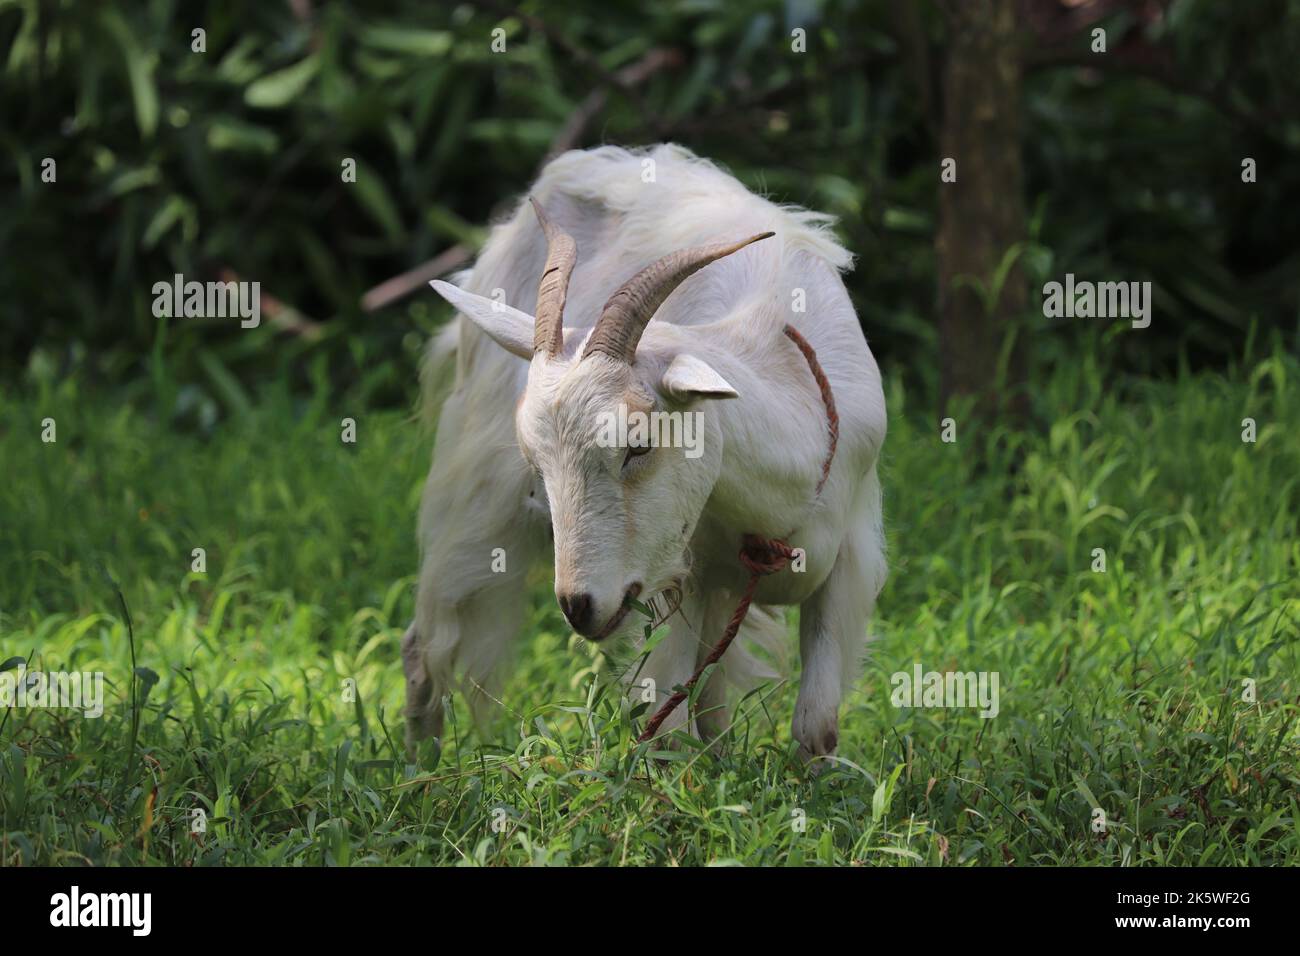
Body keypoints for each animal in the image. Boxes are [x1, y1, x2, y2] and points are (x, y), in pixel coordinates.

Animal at [403, 144, 887, 761]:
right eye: (537, 463)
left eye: (638, 444)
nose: (579, 606)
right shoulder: (669, 576)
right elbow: (668, 729)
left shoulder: (848, 557)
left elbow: (814, 730)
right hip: (476, 498)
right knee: (425, 647)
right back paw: (418, 769)